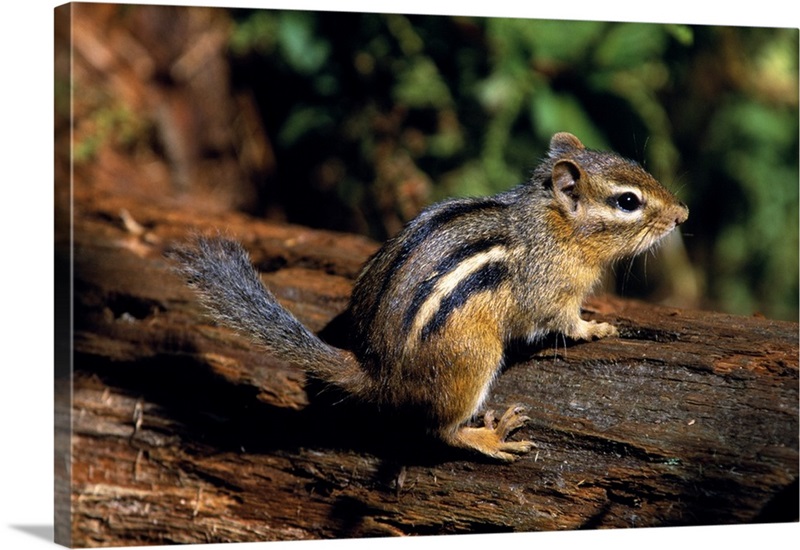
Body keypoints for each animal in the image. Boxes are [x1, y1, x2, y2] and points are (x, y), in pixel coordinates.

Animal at [170, 132, 688, 462]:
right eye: (627, 201)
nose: (683, 213)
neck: (555, 225)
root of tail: (376, 371)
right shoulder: (548, 291)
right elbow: (563, 323)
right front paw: (596, 327)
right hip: (473, 359)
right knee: (440, 432)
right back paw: (492, 438)